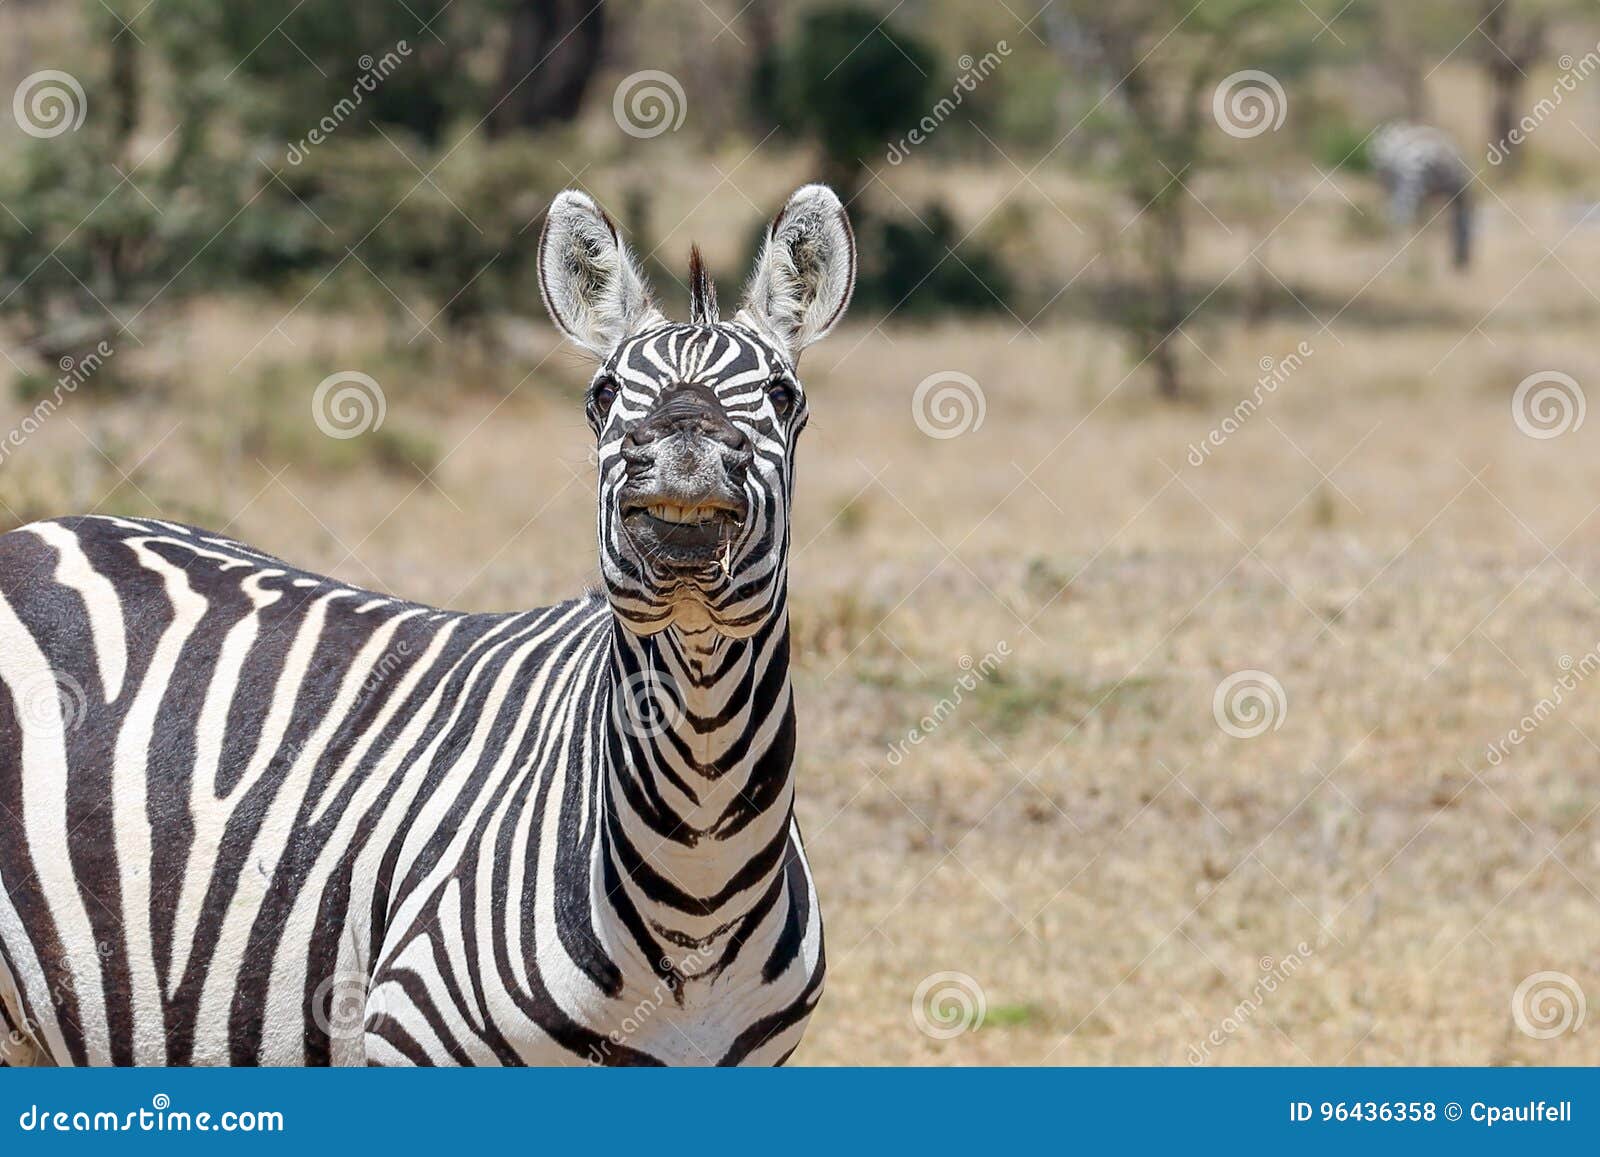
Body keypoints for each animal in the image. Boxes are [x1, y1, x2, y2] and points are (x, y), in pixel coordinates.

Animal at [0, 183, 856, 1066]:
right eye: (604, 396)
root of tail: (39, 530)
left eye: (784, 395)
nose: (684, 453)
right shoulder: (411, 1034)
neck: (698, 878)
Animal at [1367, 121, 1475, 269]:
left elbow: (1421, 223)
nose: (1463, 262)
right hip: (1409, 186)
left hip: (1389, 186)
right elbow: (1428, 226)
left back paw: (1389, 259)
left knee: (1388, 215)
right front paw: (1424, 262)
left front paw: (1421, 258)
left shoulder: (1426, 197)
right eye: (1468, 234)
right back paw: (1401, 264)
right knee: (1398, 218)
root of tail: (1393, 148)